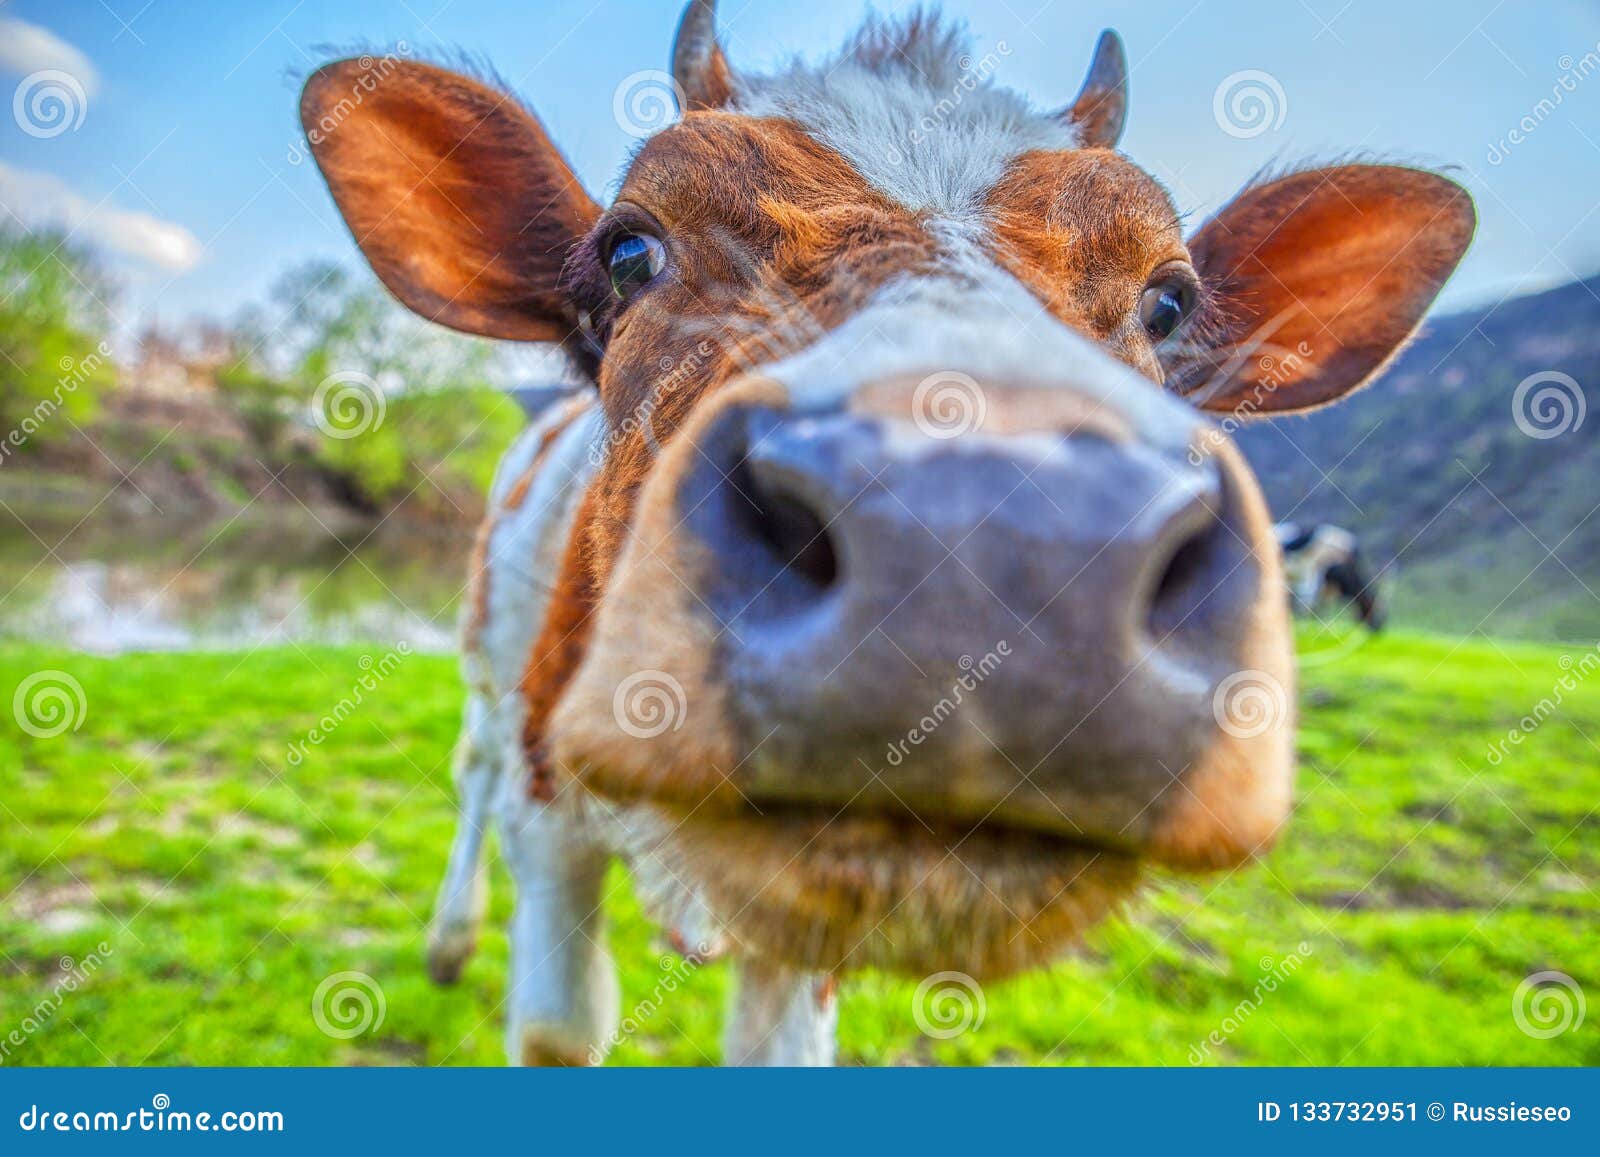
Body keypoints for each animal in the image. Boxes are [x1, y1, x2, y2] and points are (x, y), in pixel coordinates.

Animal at [299, 1, 1474, 1065]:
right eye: (630, 252)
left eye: (1170, 305)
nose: (984, 545)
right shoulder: (547, 812)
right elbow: (556, 1024)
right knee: (472, 766)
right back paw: (450, 938)